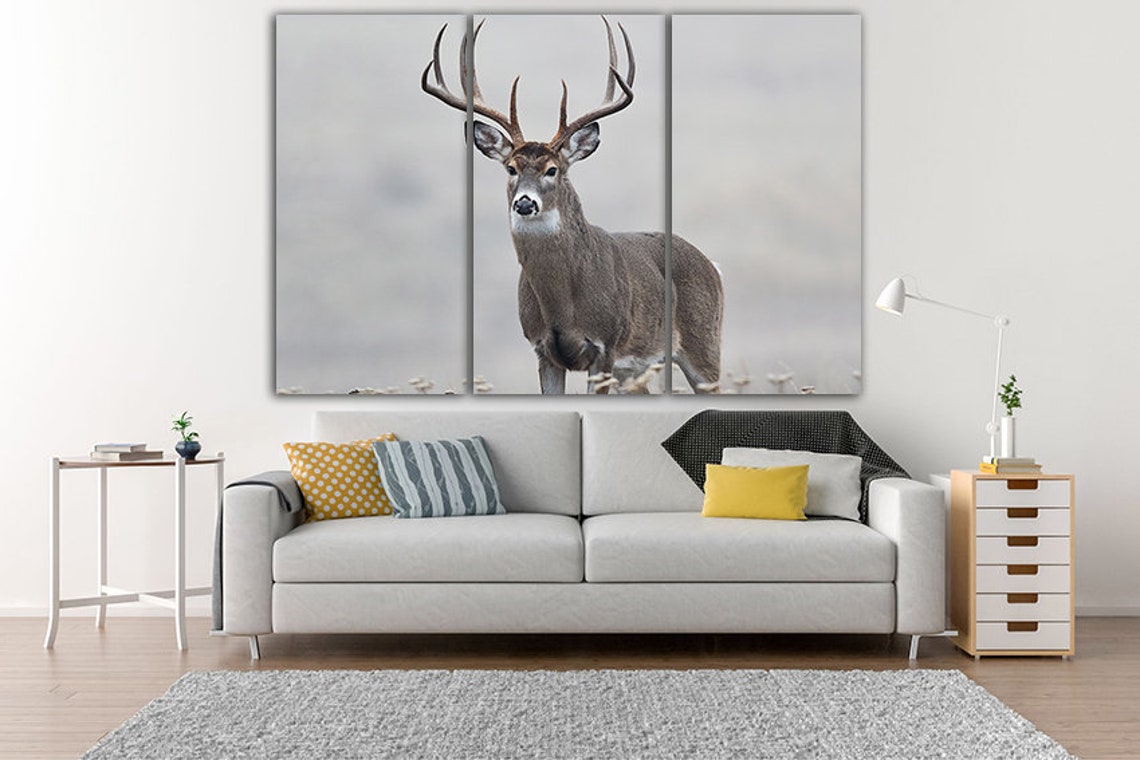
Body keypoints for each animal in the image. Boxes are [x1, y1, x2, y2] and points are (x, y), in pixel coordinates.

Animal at [422, 18, 723, 394]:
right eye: (511, 168)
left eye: (553, 170)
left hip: (704, 345)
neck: (563, 306)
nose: (525, 202)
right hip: (637, 369)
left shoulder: (605, 347)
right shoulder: (543, 350)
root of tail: (712, 266)